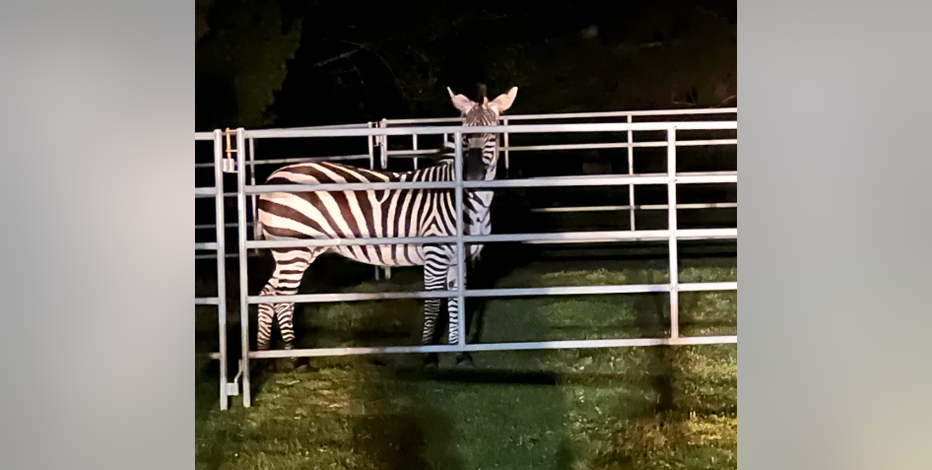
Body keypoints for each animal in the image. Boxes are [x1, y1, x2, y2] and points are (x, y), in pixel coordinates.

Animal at [253, 86, 518, 366]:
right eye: (464, 137)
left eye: (493, 135)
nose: (473, 175)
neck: (468, 201)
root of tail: (273, 176)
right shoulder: (435, 255)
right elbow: (434, 304)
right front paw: (429, 354)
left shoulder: (460, 258)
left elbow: (457, 303)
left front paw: (459, 353)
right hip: (294, 249)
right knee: (283, 299)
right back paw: (295, 357)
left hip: (291, 252)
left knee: (266, 293)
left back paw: (263, 353)